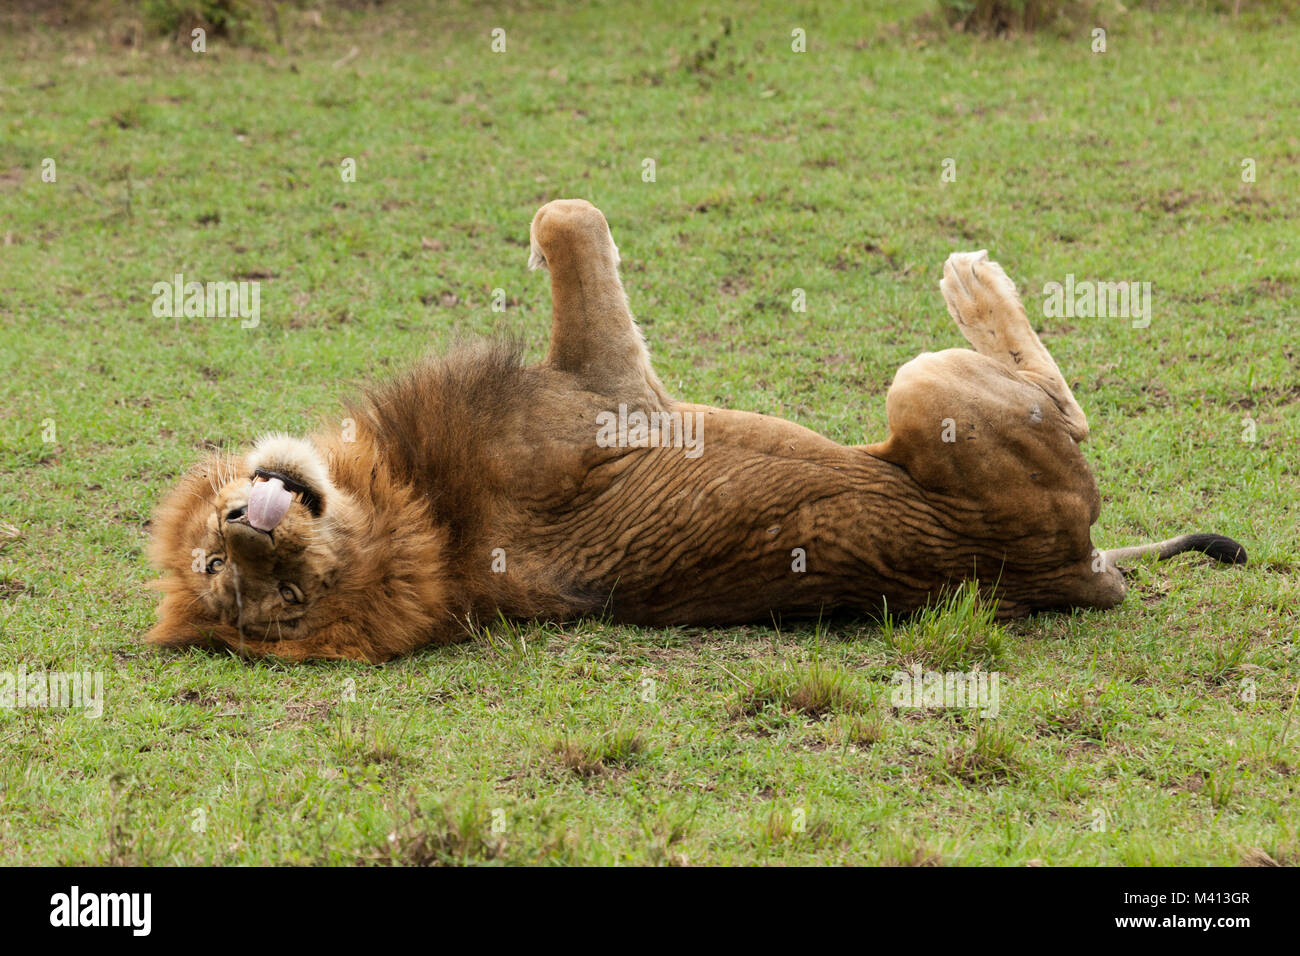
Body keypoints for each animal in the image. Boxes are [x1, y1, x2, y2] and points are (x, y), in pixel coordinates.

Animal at [145, 199, 1246, 663]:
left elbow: (561, 214)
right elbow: (570, 219)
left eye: (214, 564)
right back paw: (971, 280)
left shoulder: (622, 385)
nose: (246, 523)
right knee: (1063, 406)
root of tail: (1069, 574)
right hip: (926, 390)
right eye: (278, 595)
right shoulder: (606, 380)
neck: (424, 518)